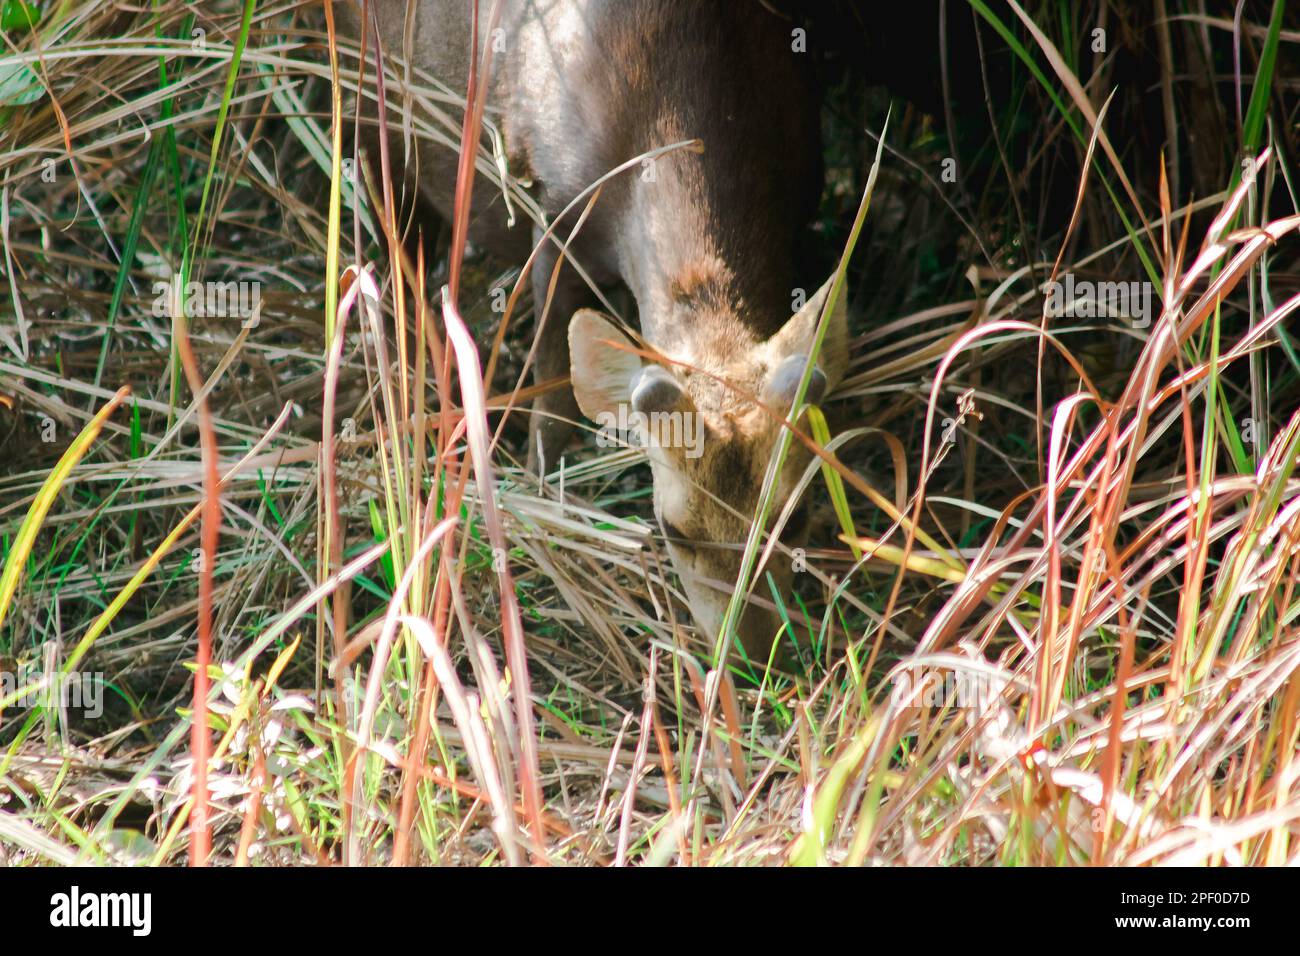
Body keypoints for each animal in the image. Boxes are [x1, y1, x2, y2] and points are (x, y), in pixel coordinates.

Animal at [337, 0, 849, 660]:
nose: (752, 657)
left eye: (799, 513)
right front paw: (538, 492)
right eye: (672, 529)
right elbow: (552, 389)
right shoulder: (552, 212)